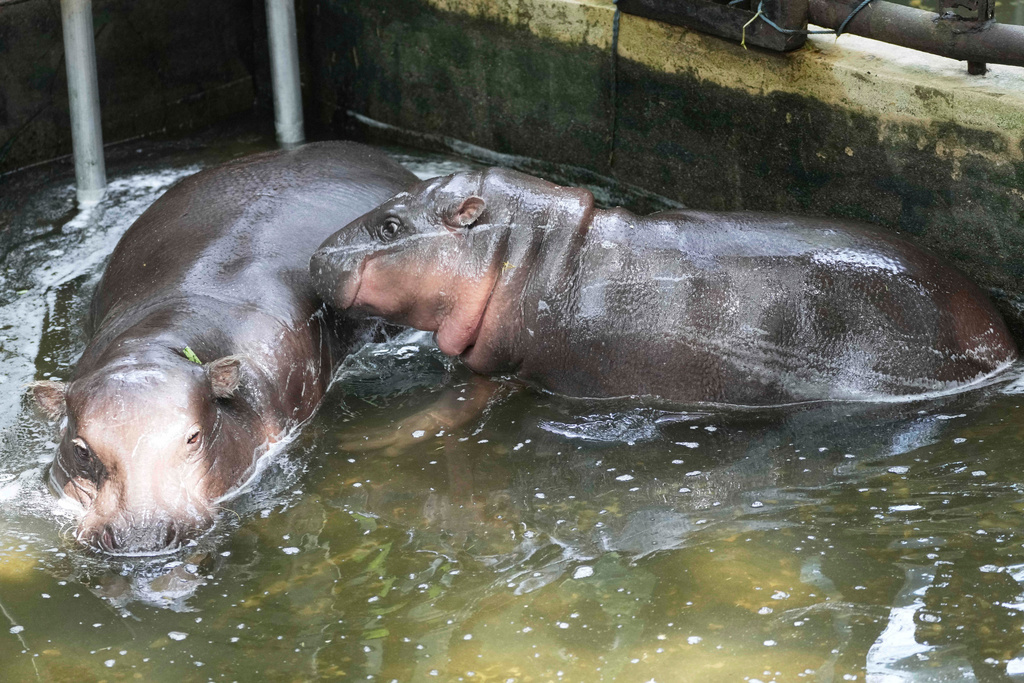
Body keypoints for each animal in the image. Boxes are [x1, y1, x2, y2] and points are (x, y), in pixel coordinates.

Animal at [310, 167, 1017, 406]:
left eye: (392, 226)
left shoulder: (509, 369)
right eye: (389, 204)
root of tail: (1000, 346)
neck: (533, 253)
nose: (314, 258)